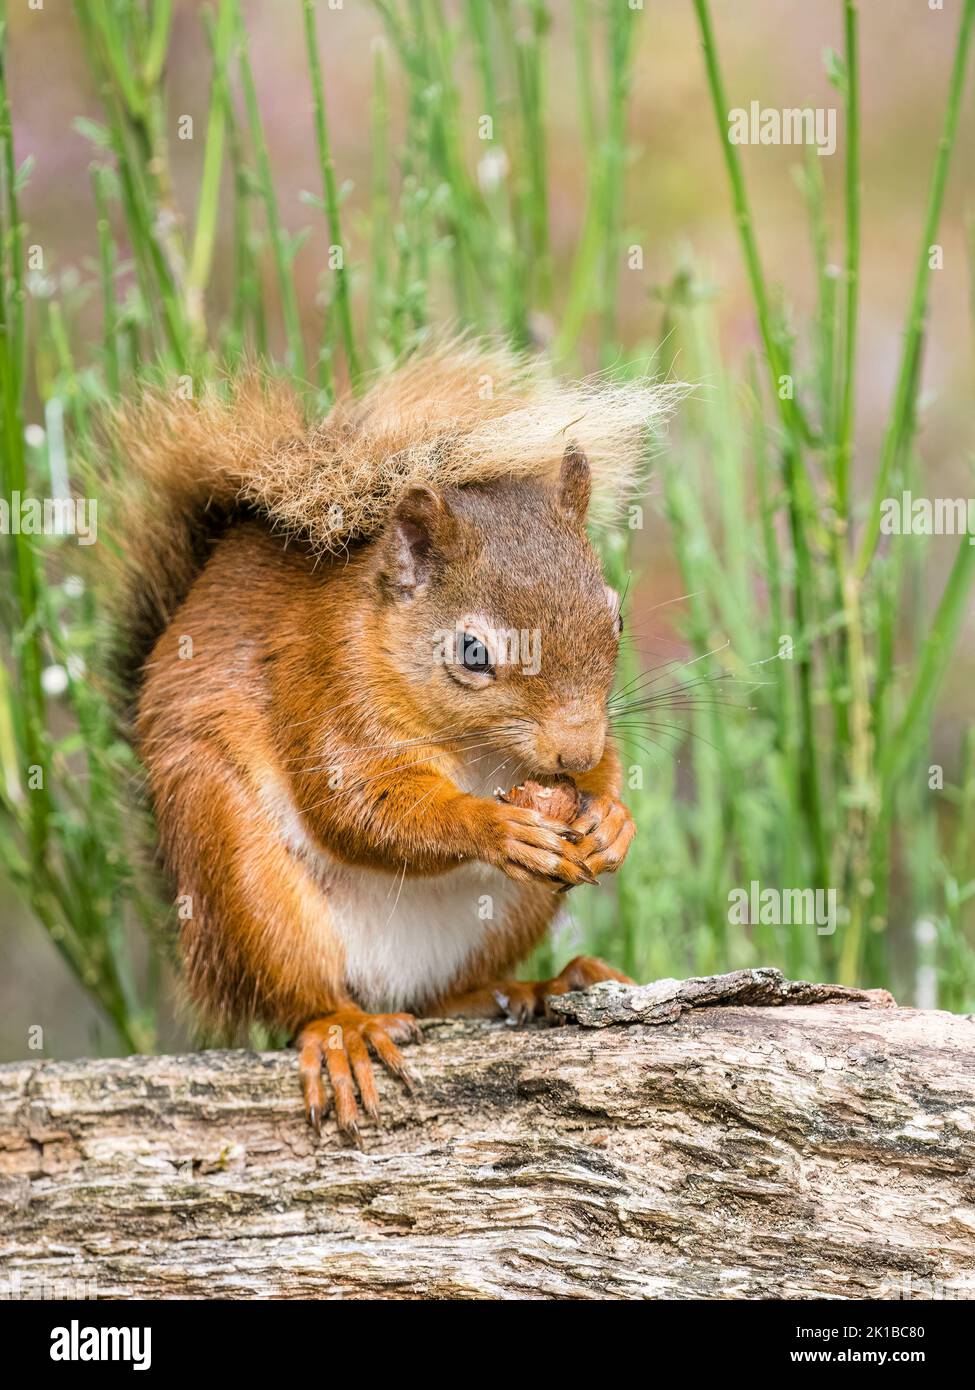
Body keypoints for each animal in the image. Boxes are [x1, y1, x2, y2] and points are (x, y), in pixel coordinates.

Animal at [110, 339, 677, 1143]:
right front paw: (494, 825)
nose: (571, 753)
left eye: (616, 616)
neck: (479, 750)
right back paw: (344, 1031)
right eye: (472, 653)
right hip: (242, 878)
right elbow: (356, 807)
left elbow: (604, 777)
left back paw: (539, 984)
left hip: (499, 922)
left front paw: (610, 821)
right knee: (301, 999)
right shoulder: (327, 685)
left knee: (445, 998)